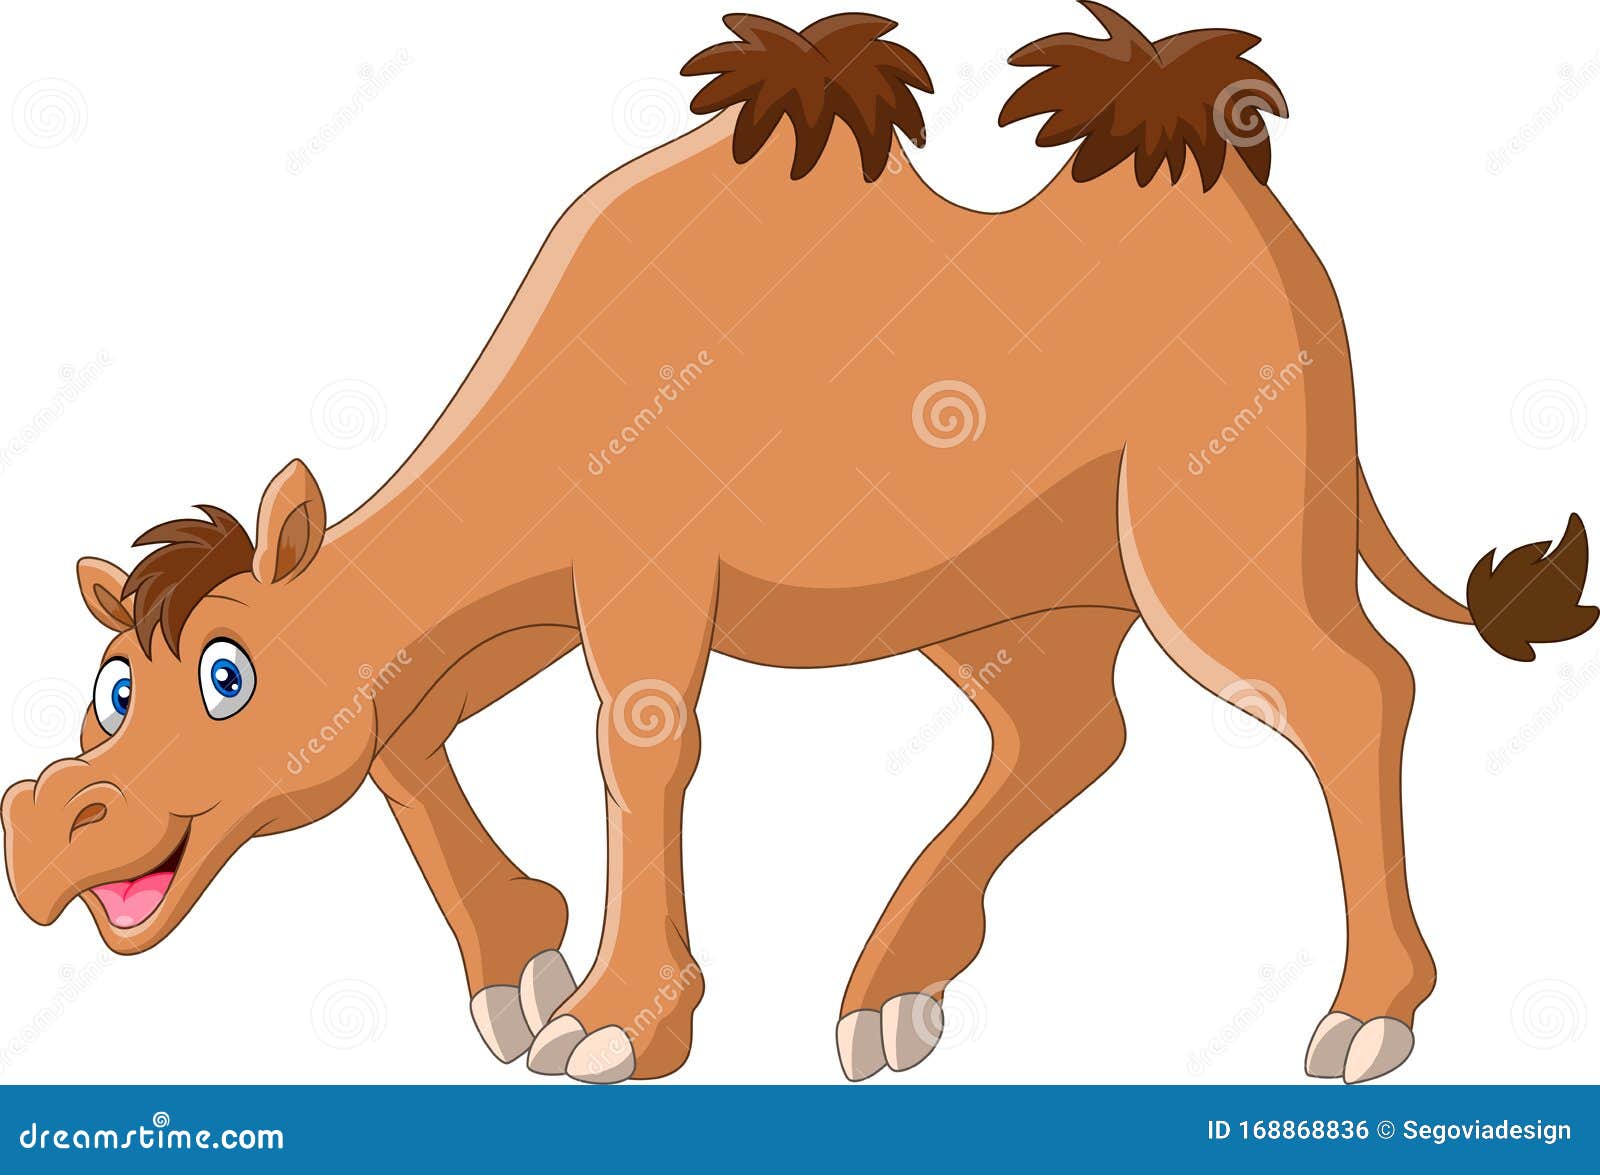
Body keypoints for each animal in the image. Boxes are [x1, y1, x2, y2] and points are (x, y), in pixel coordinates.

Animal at [5, 4, 1594, 1085]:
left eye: (225, 674)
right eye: (112, 682)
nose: (45, 828)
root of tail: (1265, 219)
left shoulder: (639, 569)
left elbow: (640, 746)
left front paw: (611, 1022)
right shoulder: (533, 595)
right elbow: (405, 731)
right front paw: (523, 964)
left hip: (1217, 528)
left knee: (1348, 690)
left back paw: (1368, 1012)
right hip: (1001, 591)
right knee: (1071, 729)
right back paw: (892, 991)